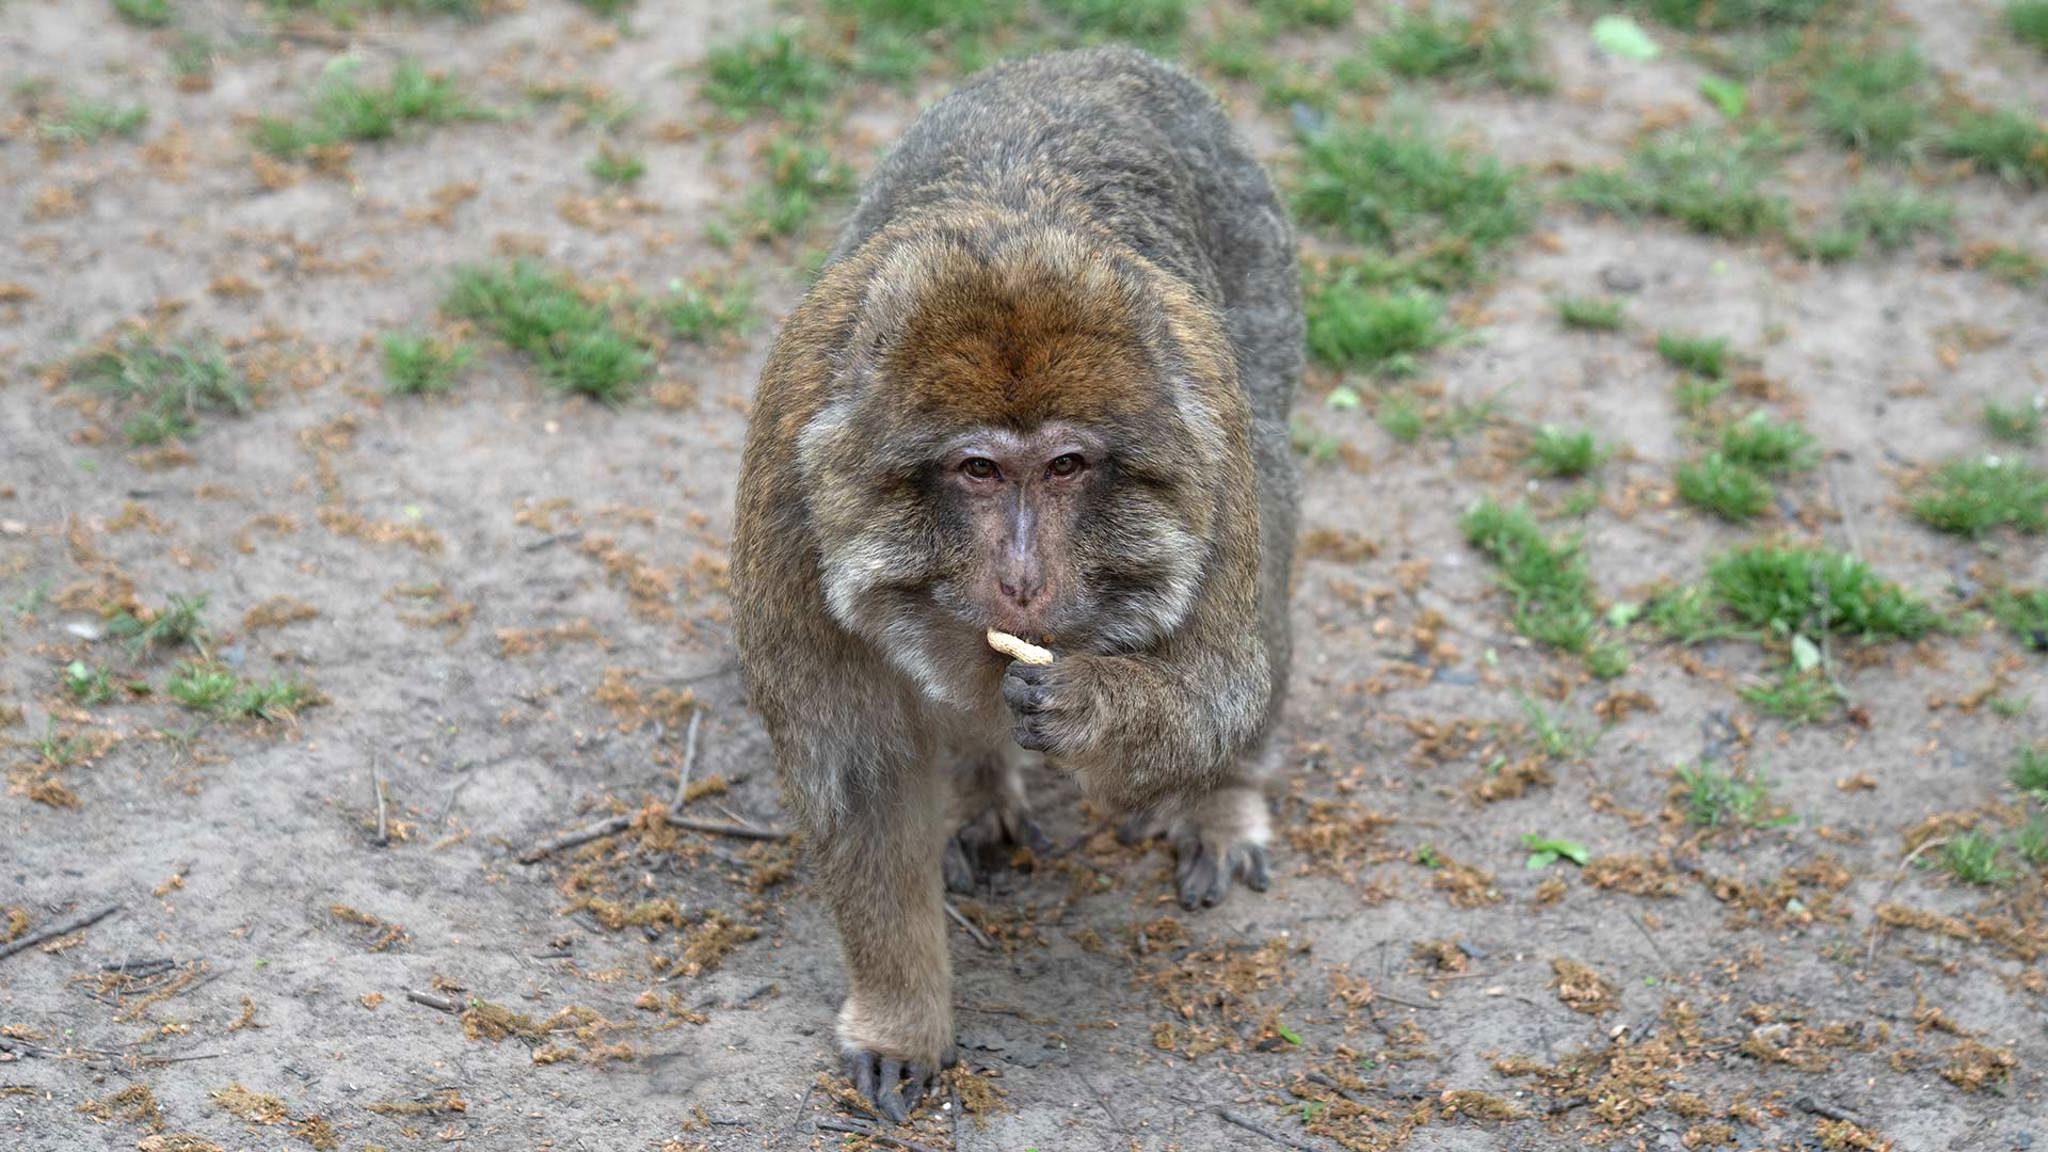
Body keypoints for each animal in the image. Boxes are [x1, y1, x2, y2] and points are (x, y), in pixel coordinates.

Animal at [729, 46, 1301, 1120]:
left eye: (1068, 465)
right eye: (980, 471)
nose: (1025, 576)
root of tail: (1098, 57)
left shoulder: (1208, 435)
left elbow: (1221, 677)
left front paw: (1094, 708)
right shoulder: (791, 493)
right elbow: (859, 773)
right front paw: (902, 1016)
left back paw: (1223, 794)